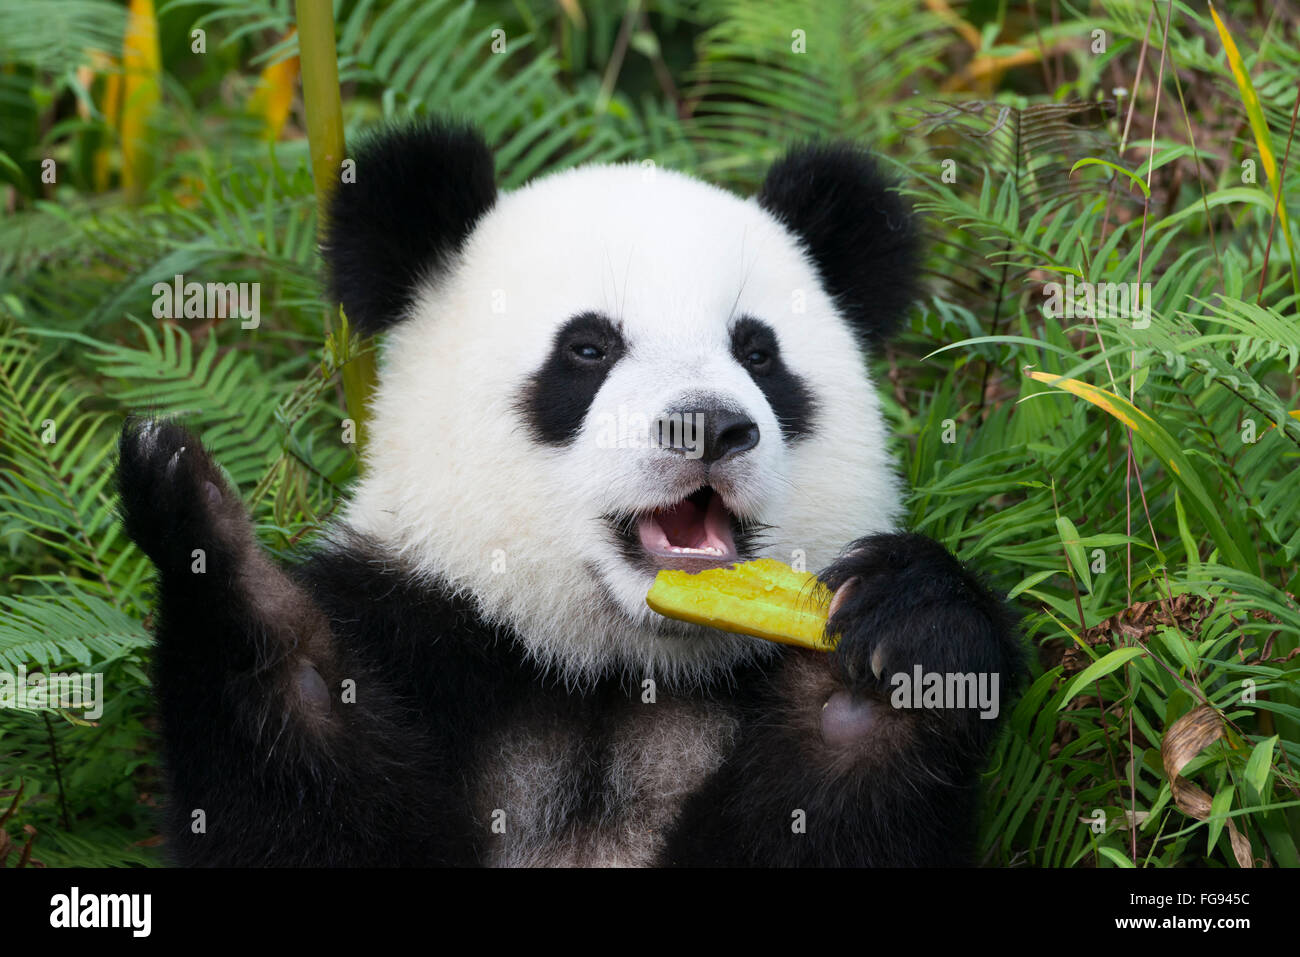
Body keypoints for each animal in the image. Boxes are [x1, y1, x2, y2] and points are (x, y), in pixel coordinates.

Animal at [116, 119, 1024, 867]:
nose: (708, 425)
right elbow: (294, 816)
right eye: (588, 348)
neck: (610, 664)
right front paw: (218, 547)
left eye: (759, 353)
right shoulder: (416, 626)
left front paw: (899, 647)